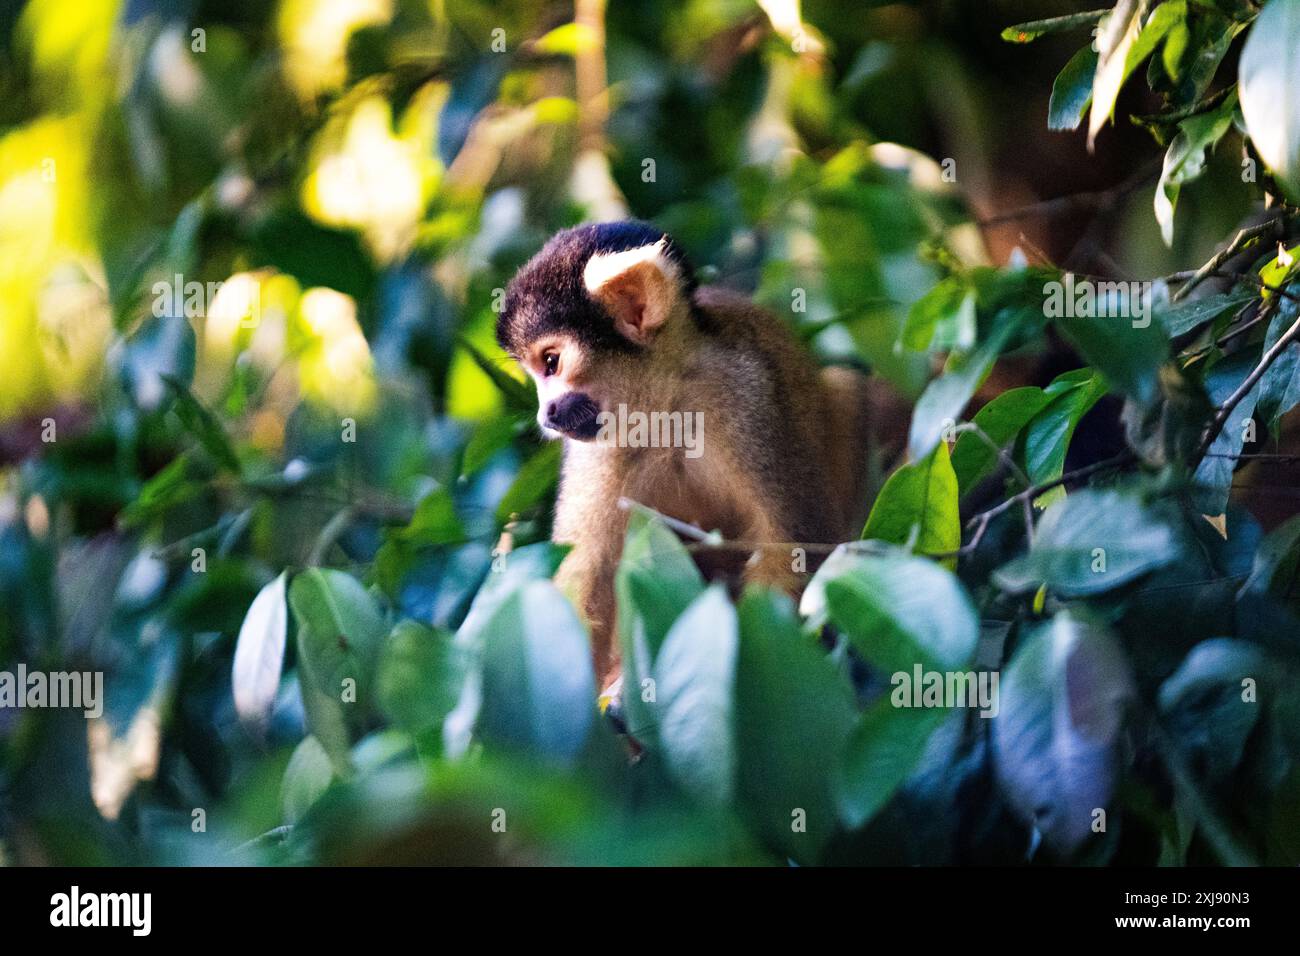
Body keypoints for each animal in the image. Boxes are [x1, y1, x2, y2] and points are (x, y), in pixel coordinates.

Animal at [497, 221, 903, 691]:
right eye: (535, 372)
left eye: (551, 362)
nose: (545, 414)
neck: (666, 403)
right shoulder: (598, 443)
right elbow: (589, 568)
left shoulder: (739, 391)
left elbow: (795, 540)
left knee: (843, 386)